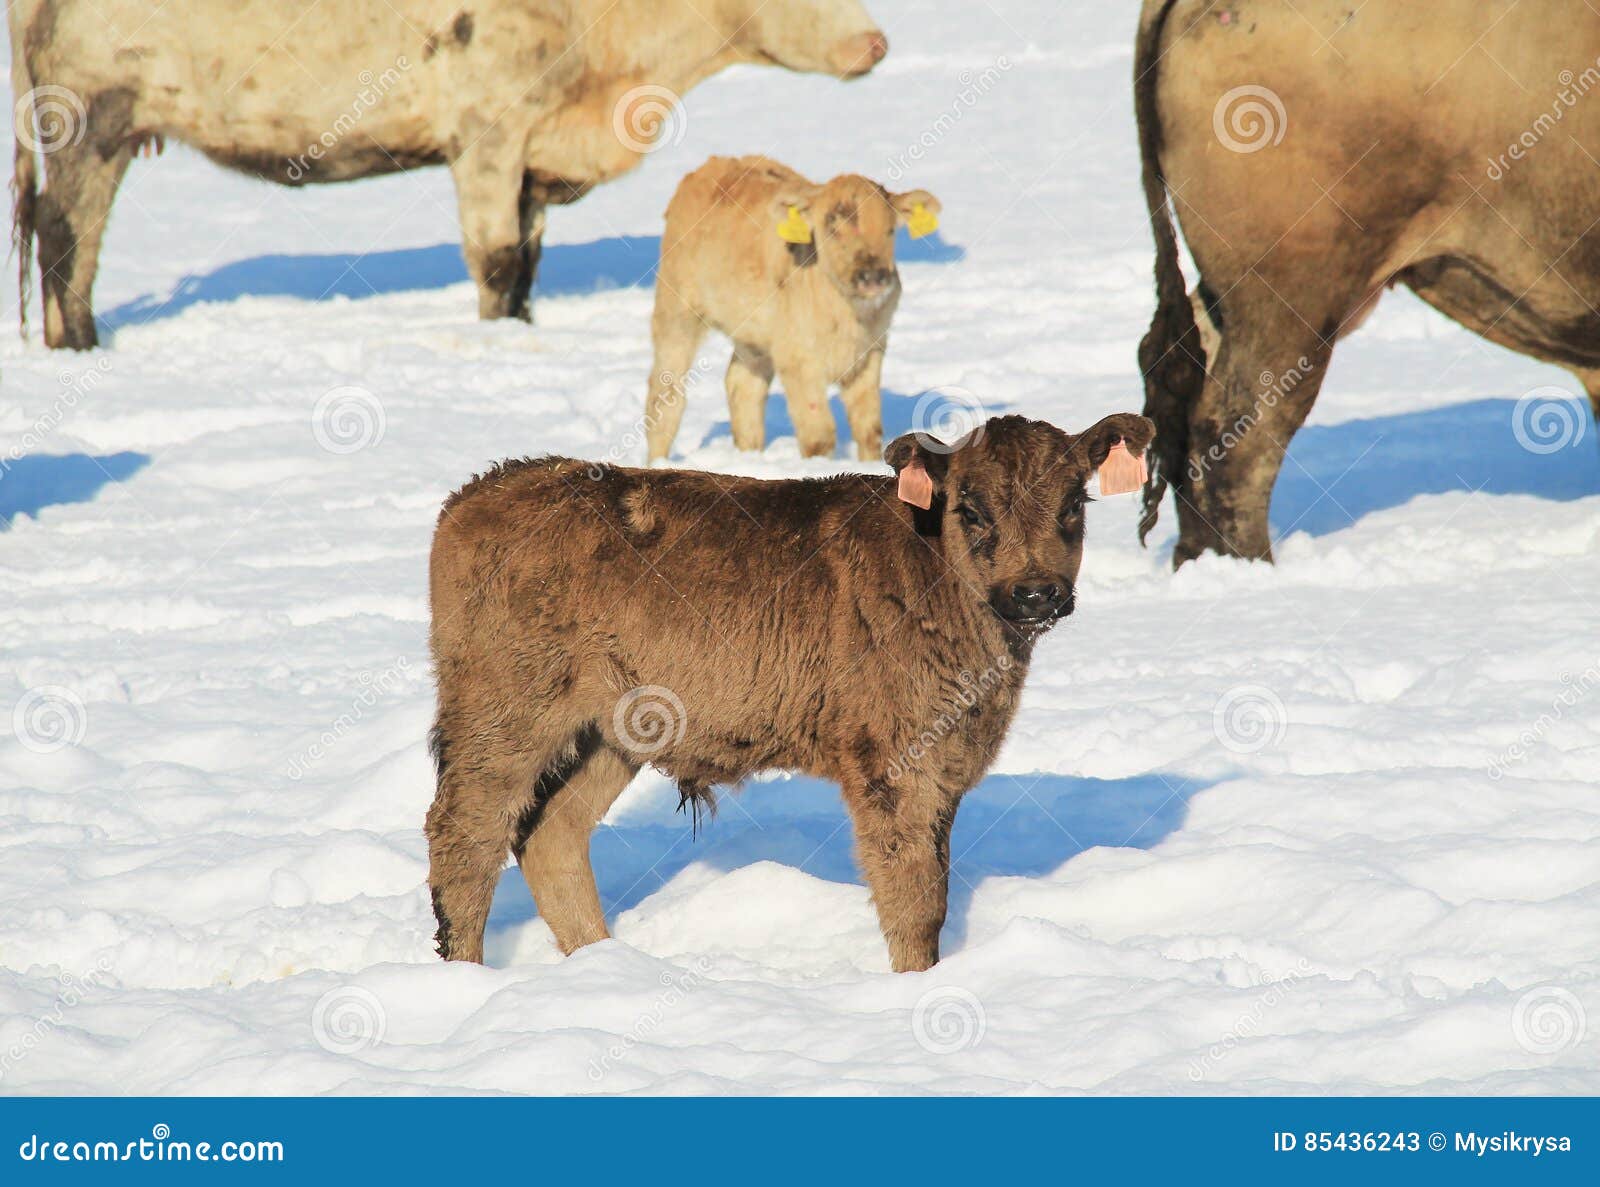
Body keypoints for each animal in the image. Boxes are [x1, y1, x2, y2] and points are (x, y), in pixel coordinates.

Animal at [7, 0, 889, 350]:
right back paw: (81, 345)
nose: (876, 42)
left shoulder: (532, 157)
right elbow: (494, 258)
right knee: (65, 233)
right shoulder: (489, 128)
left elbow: (527, 260)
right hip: (91, 115)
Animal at [425, 412, 1154, 971]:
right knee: (465, 834)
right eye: (971, 508)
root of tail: (476, 491)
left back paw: (606, 966)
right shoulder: (893, 765)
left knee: (551, 834)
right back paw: (467, 977)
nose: (1036, 593)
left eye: (1075, 503)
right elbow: (914, 901)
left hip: (610, 729)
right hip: (503, 710)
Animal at [644, 155, 940, 462]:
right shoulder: (797, 358)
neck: (846, 313)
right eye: (832, 230)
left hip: (752, 332)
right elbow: (818, 435)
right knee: (665, 396)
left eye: (890, 230)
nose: (872, 276)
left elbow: (869, 429)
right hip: (676, 308)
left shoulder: (871, 349)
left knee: (743, 384)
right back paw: (658, 461)